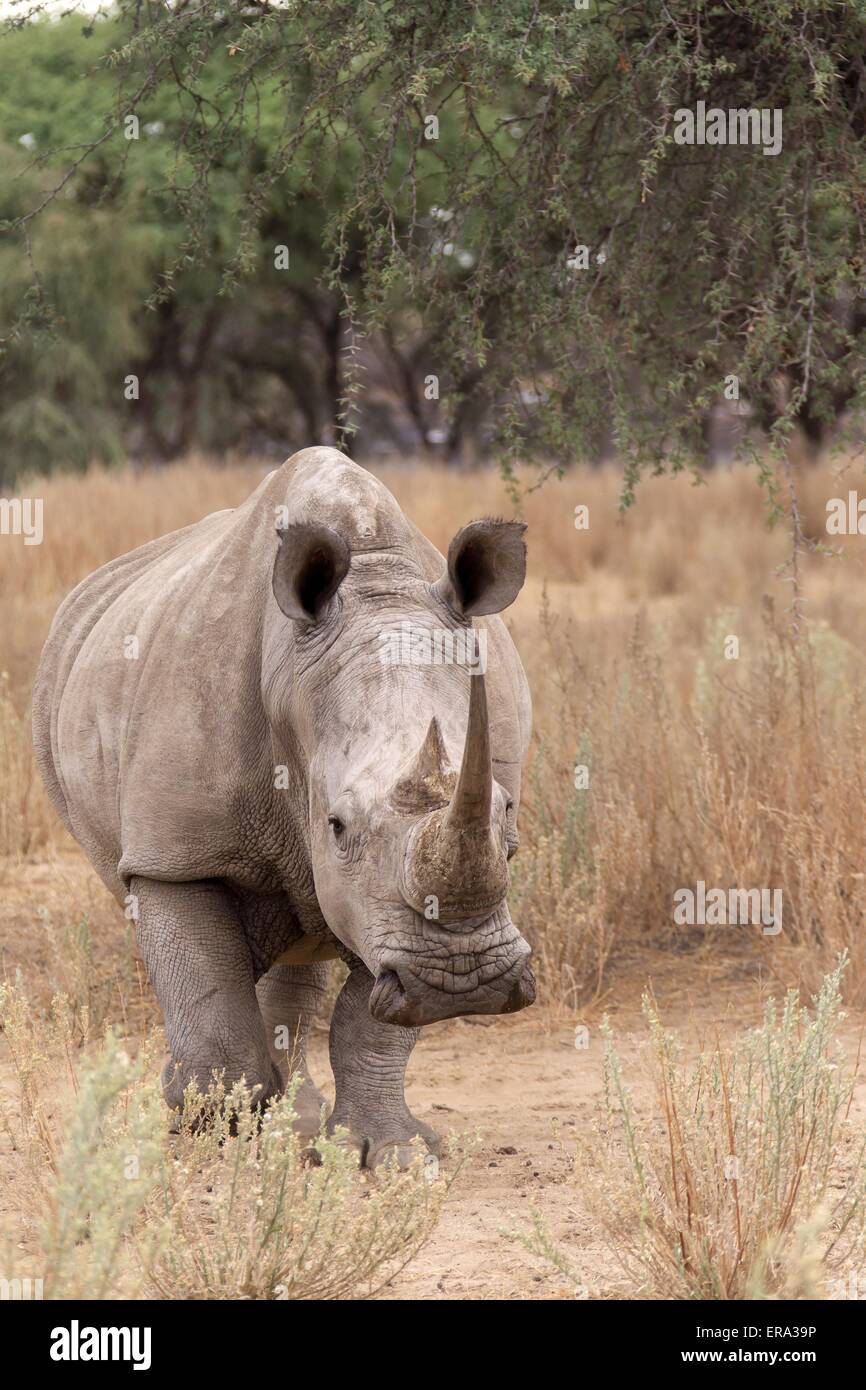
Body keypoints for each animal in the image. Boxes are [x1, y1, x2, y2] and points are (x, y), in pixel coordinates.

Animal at [32, 447, 534, 1167]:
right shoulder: (174, 852)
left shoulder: (386, 911)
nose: (461, 981)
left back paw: (294, 1120)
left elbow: (370, 1017)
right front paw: (213, 1127)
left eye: (507, 815)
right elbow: (208, 992)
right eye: (337, 825)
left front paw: (392, 1153)